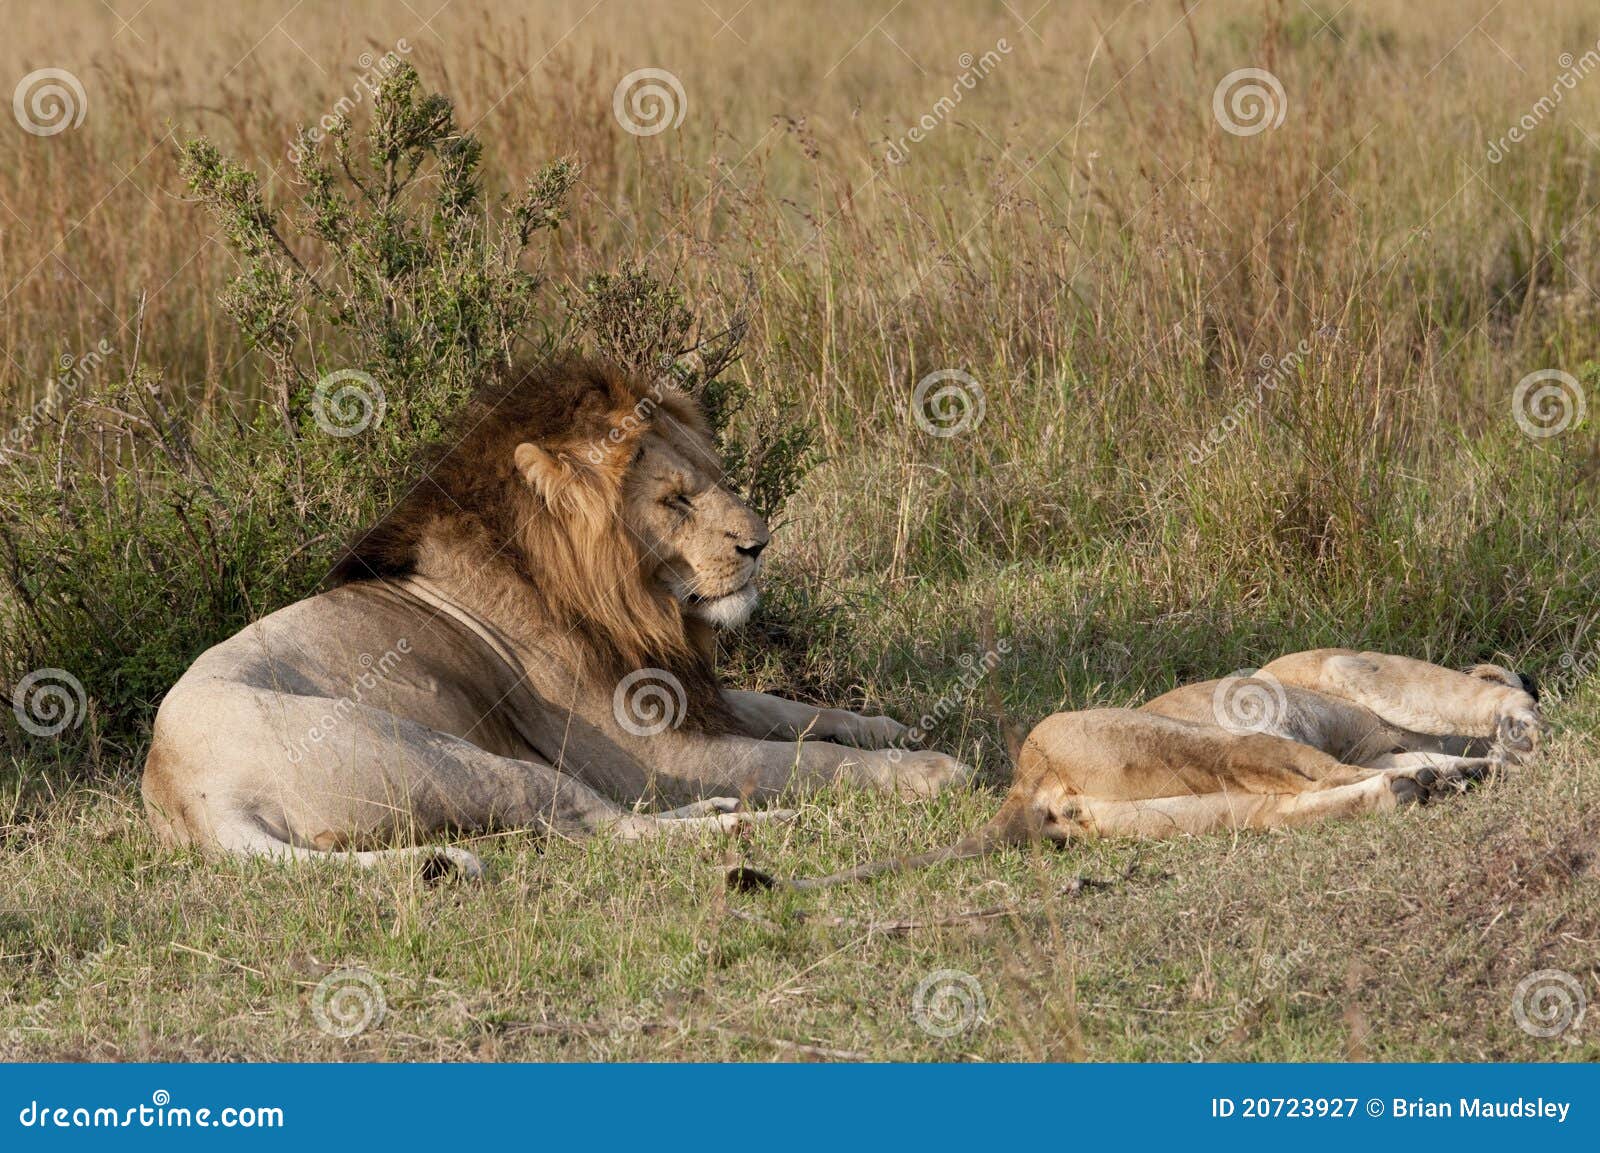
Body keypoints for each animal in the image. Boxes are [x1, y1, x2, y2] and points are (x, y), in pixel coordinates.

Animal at [141, 358, 971, 877]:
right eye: (675, 499)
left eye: (717, 477)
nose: (759, 544)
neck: (623, 599)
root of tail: (187, 788)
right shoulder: (647, 750)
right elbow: (799, 759)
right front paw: (929, 769)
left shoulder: (682, 688)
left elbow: (795, 711)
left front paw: (890, 727)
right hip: (457, 756)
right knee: (606, 824)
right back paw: (753, 822)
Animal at [730, 650, 1544, 890]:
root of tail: (1024, 777)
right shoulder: (1356, 669)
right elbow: (1468, 694)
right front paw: (1519, 725)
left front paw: (1479, 755)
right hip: (1219, 742)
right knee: (1311, 778)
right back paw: (1439, 783)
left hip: (1190, 807)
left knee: (1288, 805)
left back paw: (1425, 786)